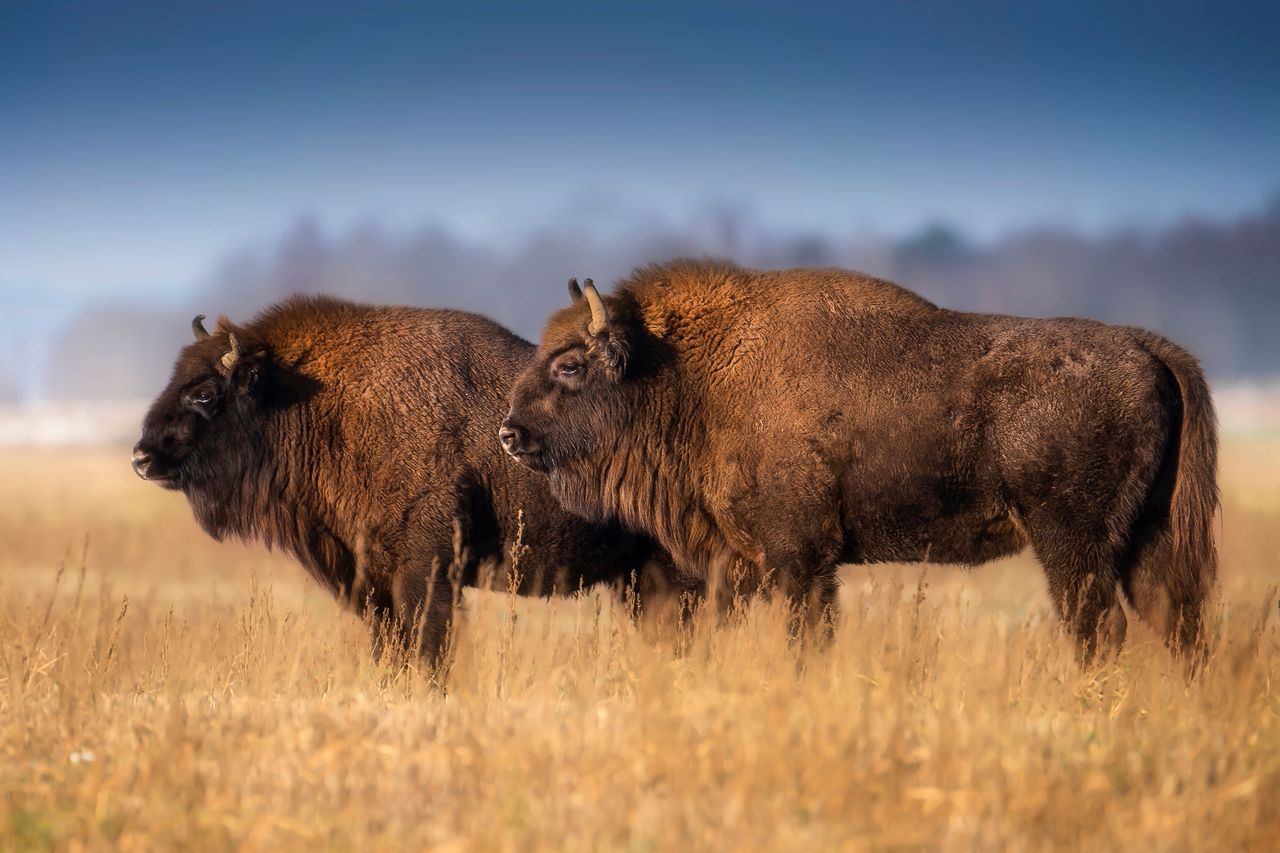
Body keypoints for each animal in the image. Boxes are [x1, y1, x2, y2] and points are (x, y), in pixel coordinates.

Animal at [132, 297, 680, 666]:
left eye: (205, 393)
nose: (141, 457)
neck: (317, 402)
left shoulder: (424, 570)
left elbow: (426, 646)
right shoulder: (367, 579)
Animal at [501, 262, 1218, 660]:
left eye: (570, 365)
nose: (509, 432)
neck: (689, 375)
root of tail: (1145, 347)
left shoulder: (799, 559)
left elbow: (806, 638)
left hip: (1071, 543)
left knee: (1100, 629)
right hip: (1145, 542)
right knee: (1178, 624)